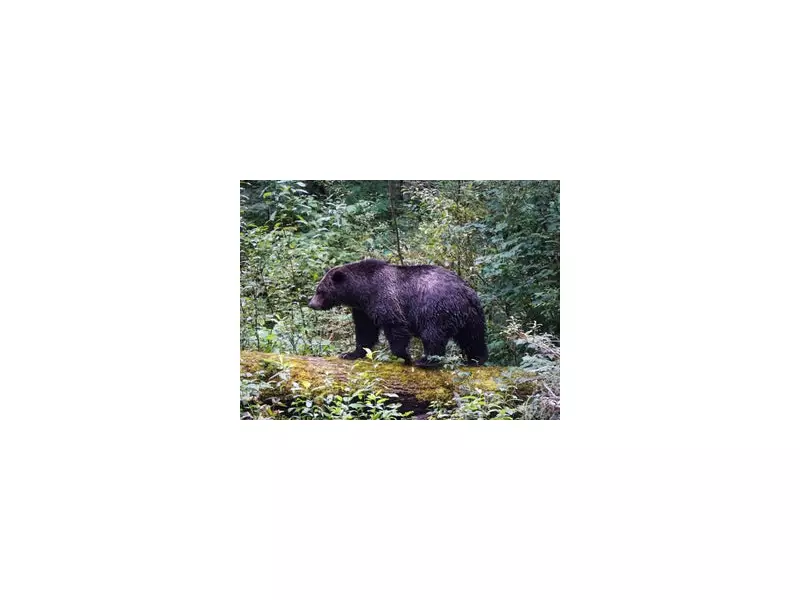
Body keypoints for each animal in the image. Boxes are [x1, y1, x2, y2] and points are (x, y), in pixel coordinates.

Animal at [308, 259, 488, 367]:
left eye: (320, 290)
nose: (311, 304)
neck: (361, 291)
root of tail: (465, 291)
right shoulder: (363, 309)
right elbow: (365, 332)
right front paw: (350, 353)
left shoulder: (383, 297)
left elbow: (394, 325)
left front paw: (405, 356)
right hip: (471, 315)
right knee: (473, 337)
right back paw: (476, 359)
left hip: (436, 309)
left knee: (433, 335)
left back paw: (425, 361)